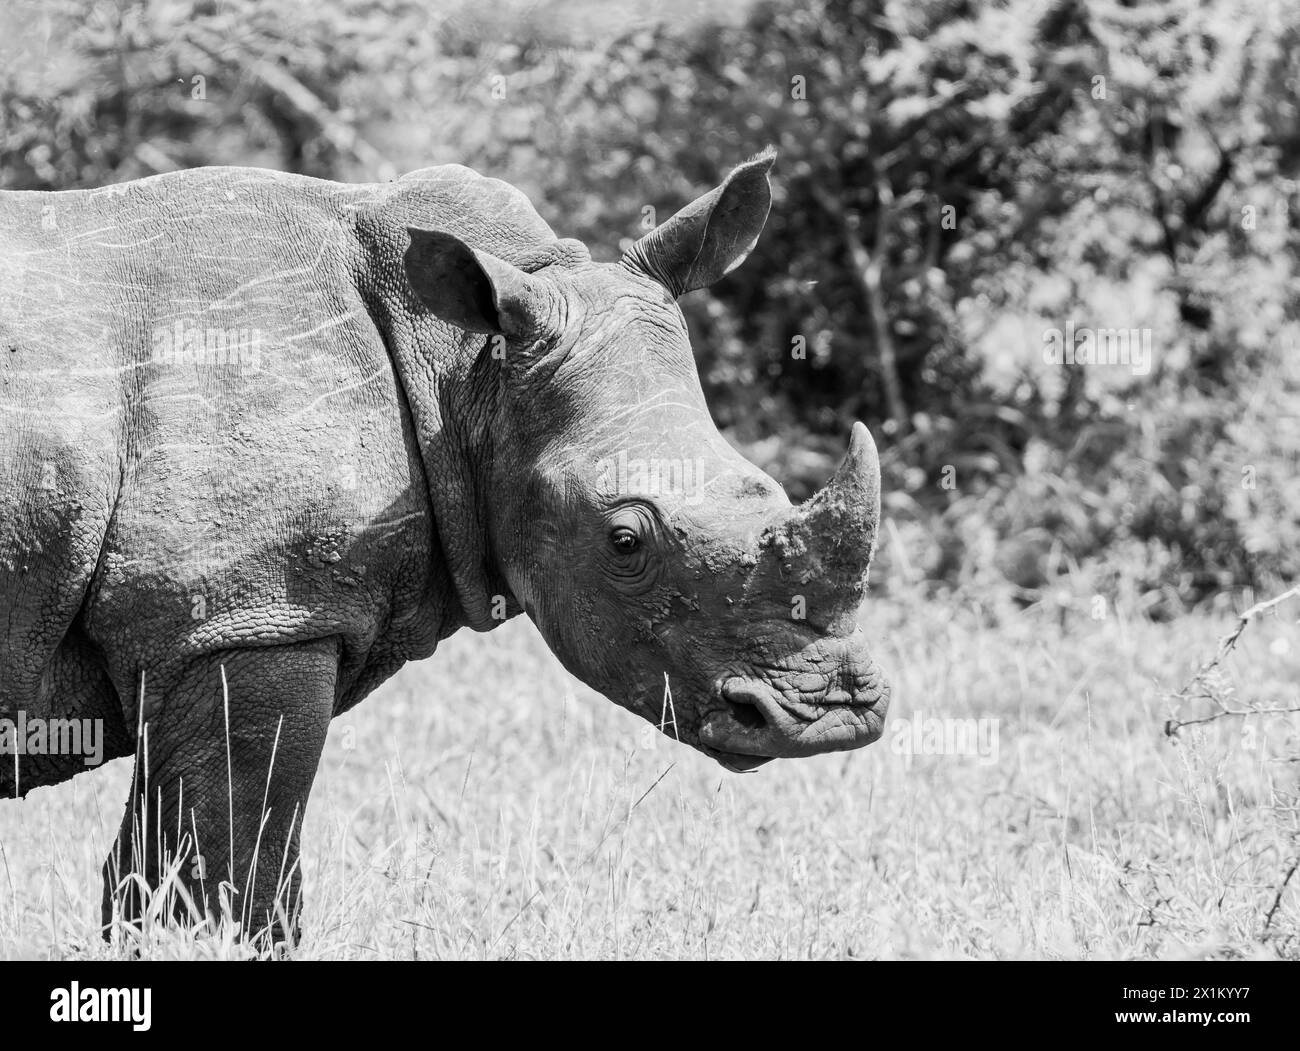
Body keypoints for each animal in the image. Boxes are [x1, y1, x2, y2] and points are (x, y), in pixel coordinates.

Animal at [0, 149, 889, 945]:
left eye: (765, 488)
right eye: (626, 540)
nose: (832, 717)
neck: (465, 370)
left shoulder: (234, 623)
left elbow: (156, 877)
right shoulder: (245, 620)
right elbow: (224, 877)